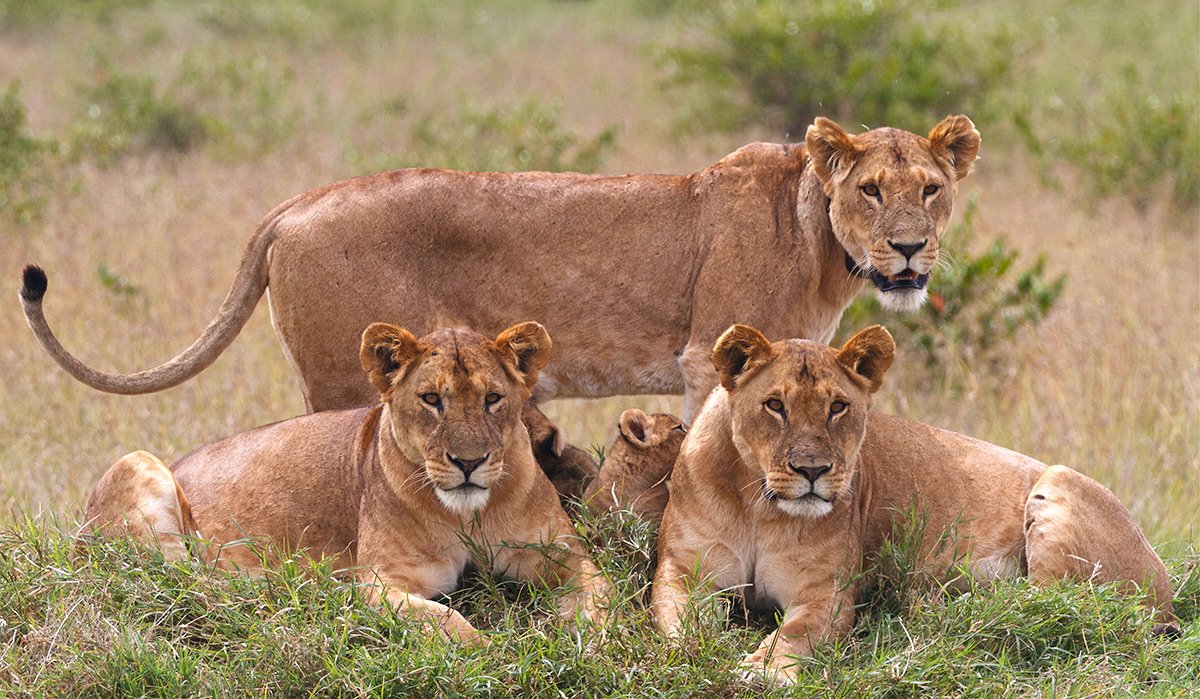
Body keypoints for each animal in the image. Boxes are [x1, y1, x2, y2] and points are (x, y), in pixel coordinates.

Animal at [20, 115, 981, 424]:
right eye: (869, 190)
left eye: (929, 191)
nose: (907, 248)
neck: (822, 246)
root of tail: (296, 201)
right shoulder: (707, 355)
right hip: (343, 377)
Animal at [82, 321, 612, 643]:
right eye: (431, 399)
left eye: (493, 399)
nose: (468, 462)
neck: (468, 515)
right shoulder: (379, 583)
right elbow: (447, 620)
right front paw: (488, 651)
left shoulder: (564, 555)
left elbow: (599, 593)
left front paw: (593, 642)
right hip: (137, 463)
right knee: (182, 582)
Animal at [651, 324, 1177, 685]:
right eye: (774, 405)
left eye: (838, 407)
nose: (812, 471)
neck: (760, 506)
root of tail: (1168, 593)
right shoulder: (685, 570)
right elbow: (675, 618)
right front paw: (693, 650)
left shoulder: (828, 594)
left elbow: (794, 633)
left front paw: (762, 669)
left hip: (1059, 478)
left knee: (1051, 605)